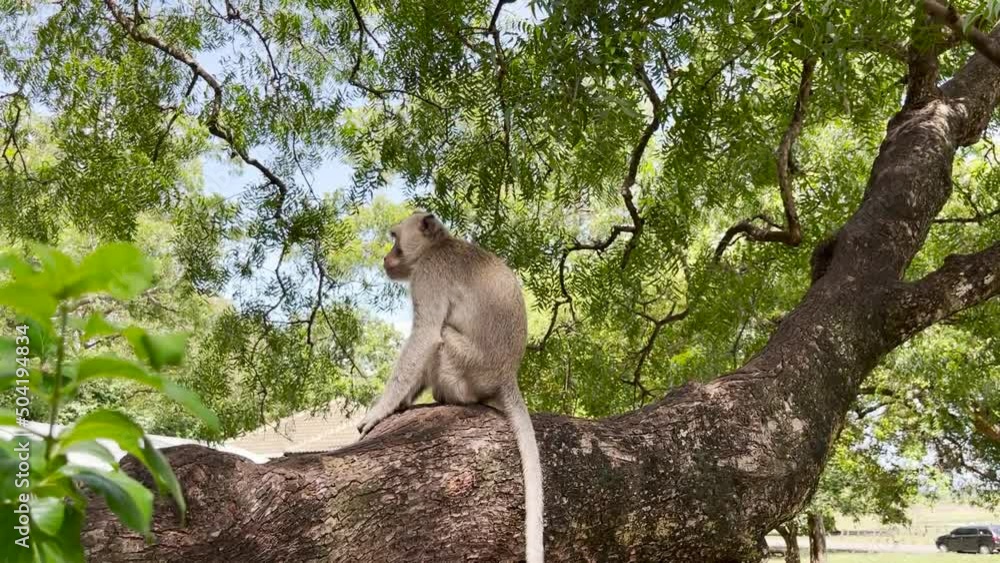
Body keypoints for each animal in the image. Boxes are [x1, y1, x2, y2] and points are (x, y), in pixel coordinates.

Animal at [357, 211, 544, 563]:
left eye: (394, 238)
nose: (385, 257)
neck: (437, 246)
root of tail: (506, 374)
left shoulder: (429, 275)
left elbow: (426, 334)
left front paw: (379, 410)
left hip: (467, 368)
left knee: (442, 336)